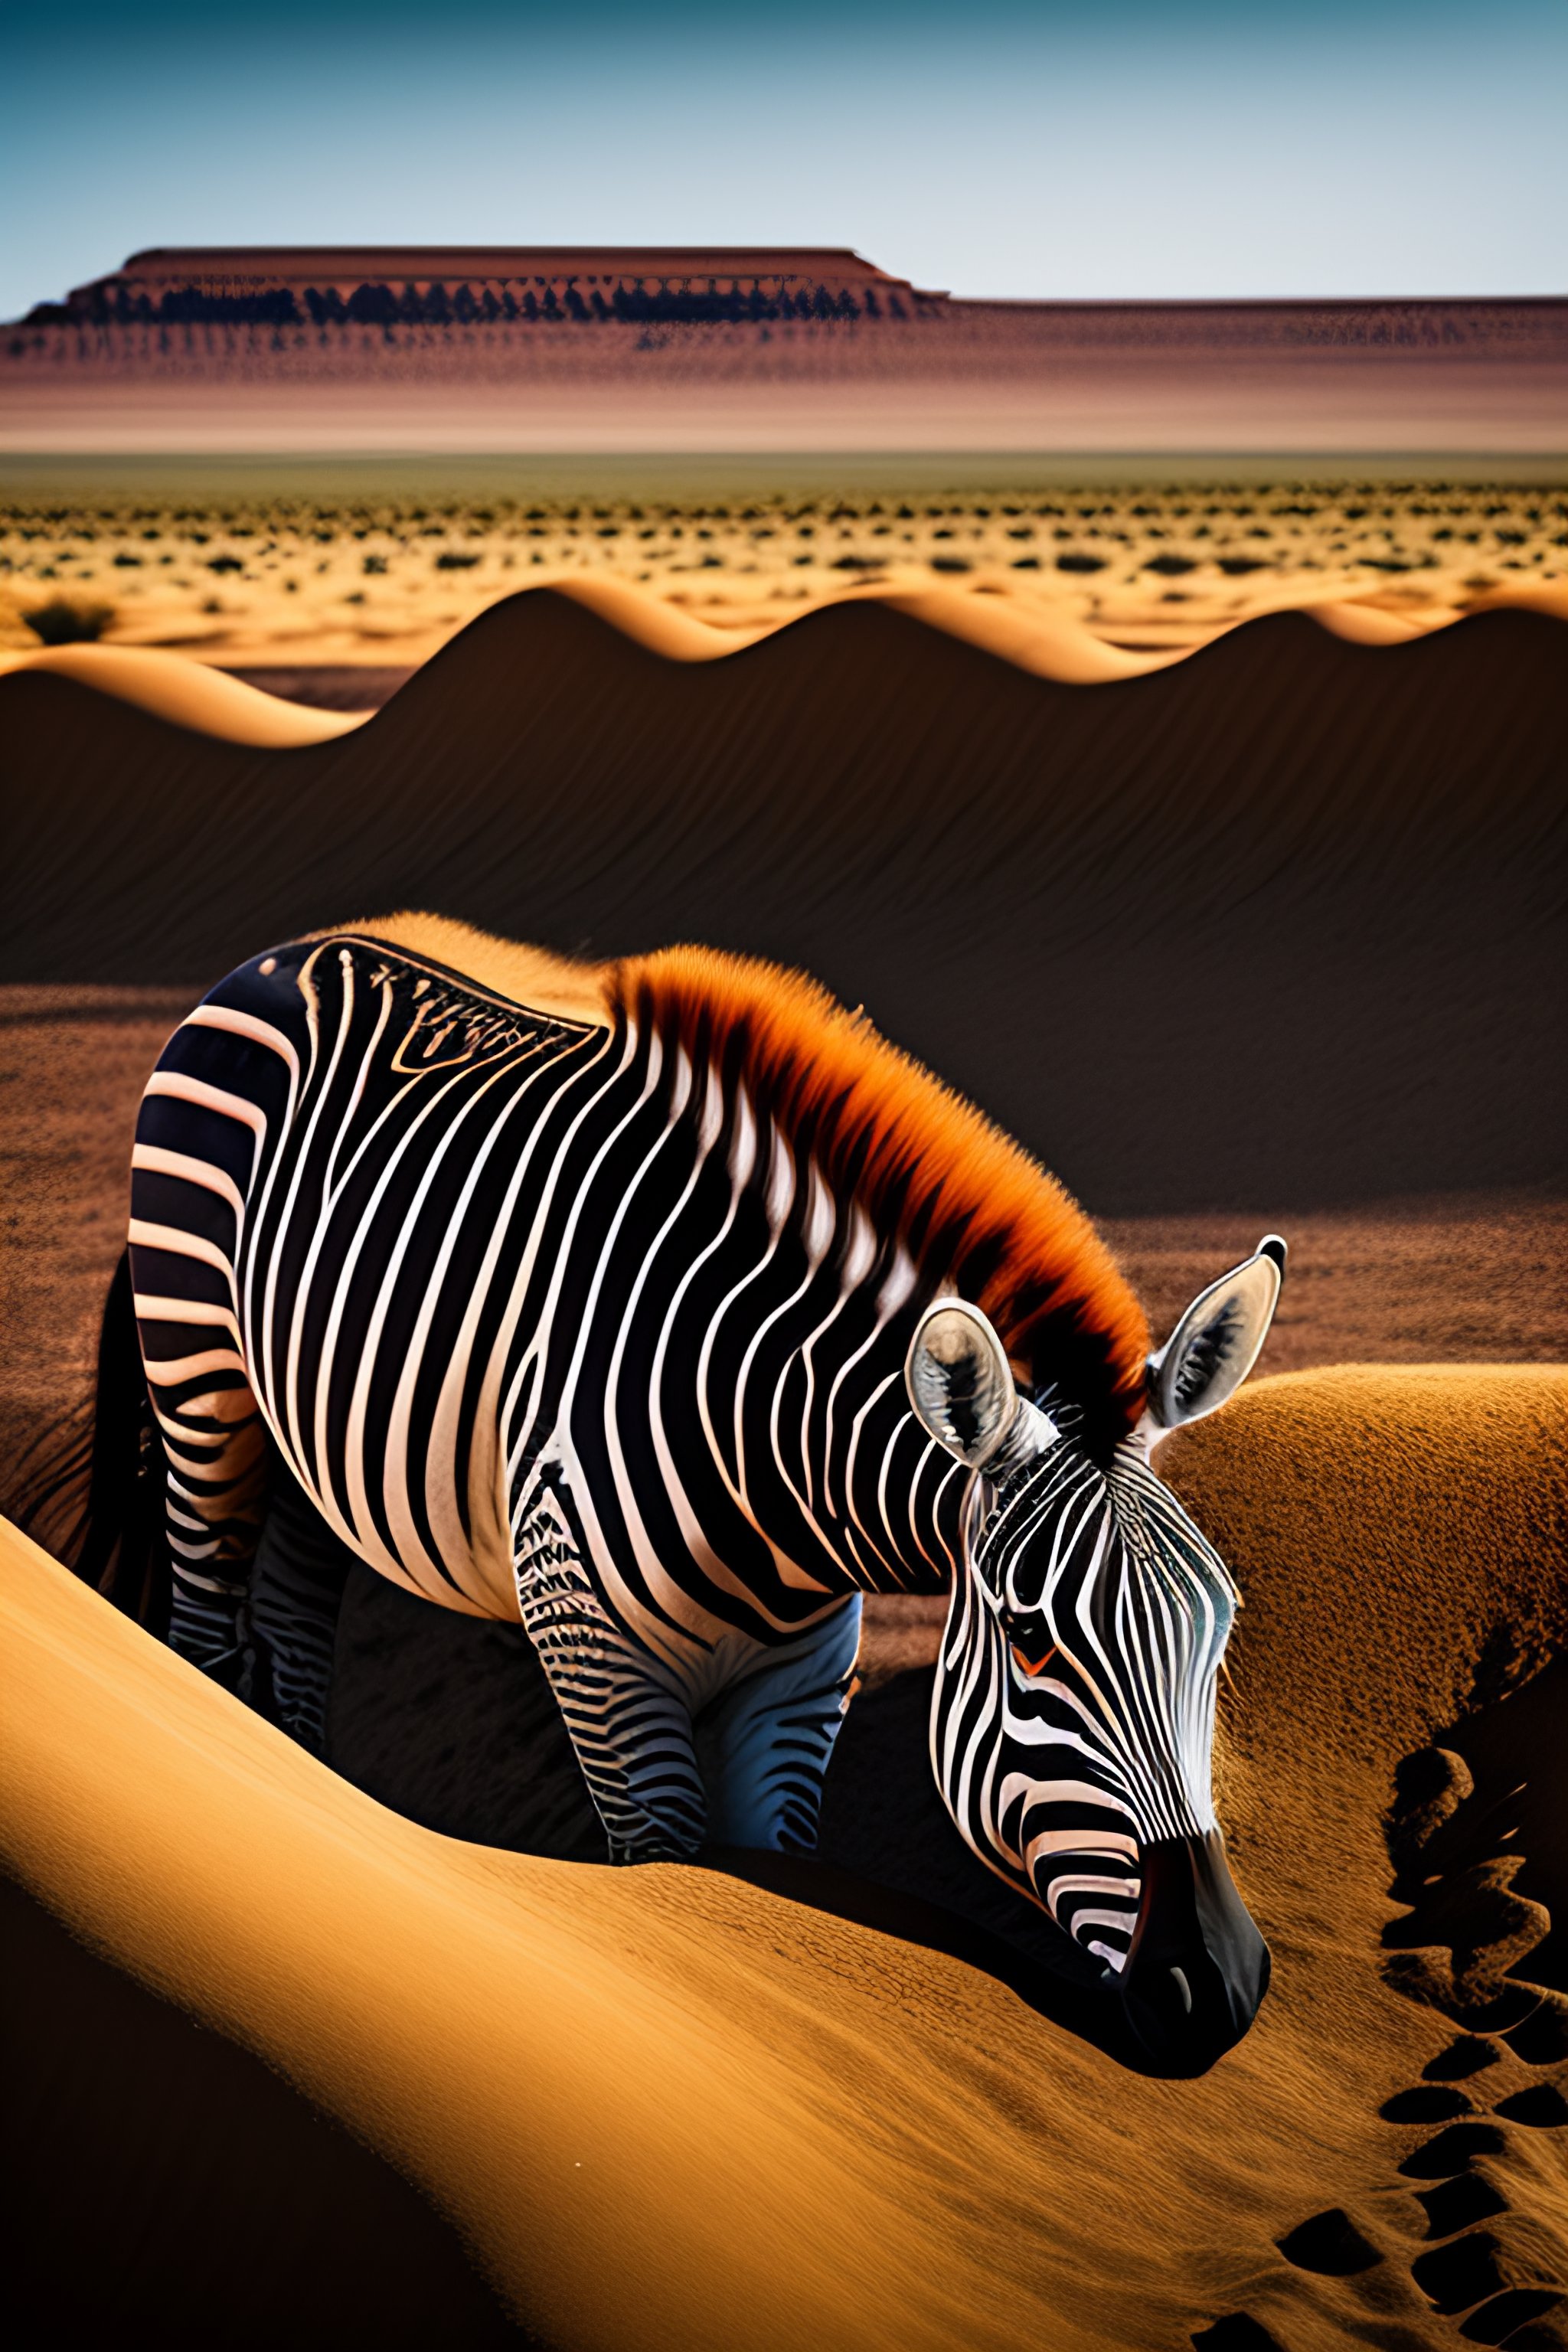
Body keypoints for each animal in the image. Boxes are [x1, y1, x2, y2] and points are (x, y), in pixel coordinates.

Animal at [110, 912, 1281, 2067]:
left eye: (1220, 1626)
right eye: (1034, 1643)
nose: (1218, 1991)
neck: (770, 1453)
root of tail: (290, 951)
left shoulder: (795, 1691)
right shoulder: (598, 1663)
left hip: (303, 1433)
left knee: (293, 1613)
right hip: (199, 1369)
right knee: (203, 1616)